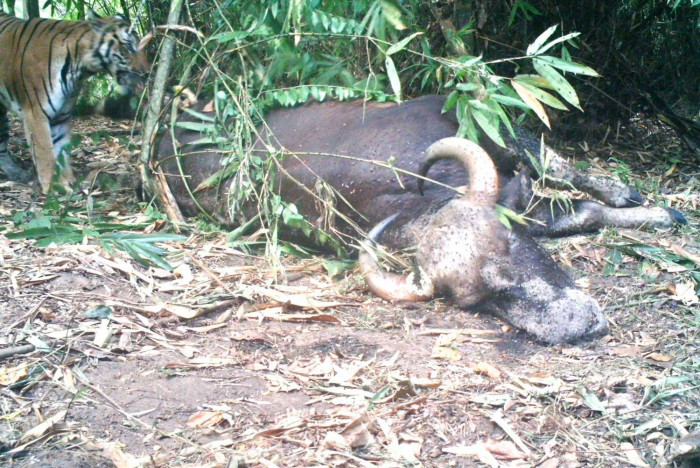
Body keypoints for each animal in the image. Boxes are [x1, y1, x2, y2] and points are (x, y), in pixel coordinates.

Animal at [0, 10, 148, 193]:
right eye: (128, 47)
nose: (147, 72)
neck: (80, 69)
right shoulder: (35, 114)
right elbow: (45, 154)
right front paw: (54, 187)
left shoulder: (60, 116)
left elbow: (61, 150)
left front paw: (68, 180)